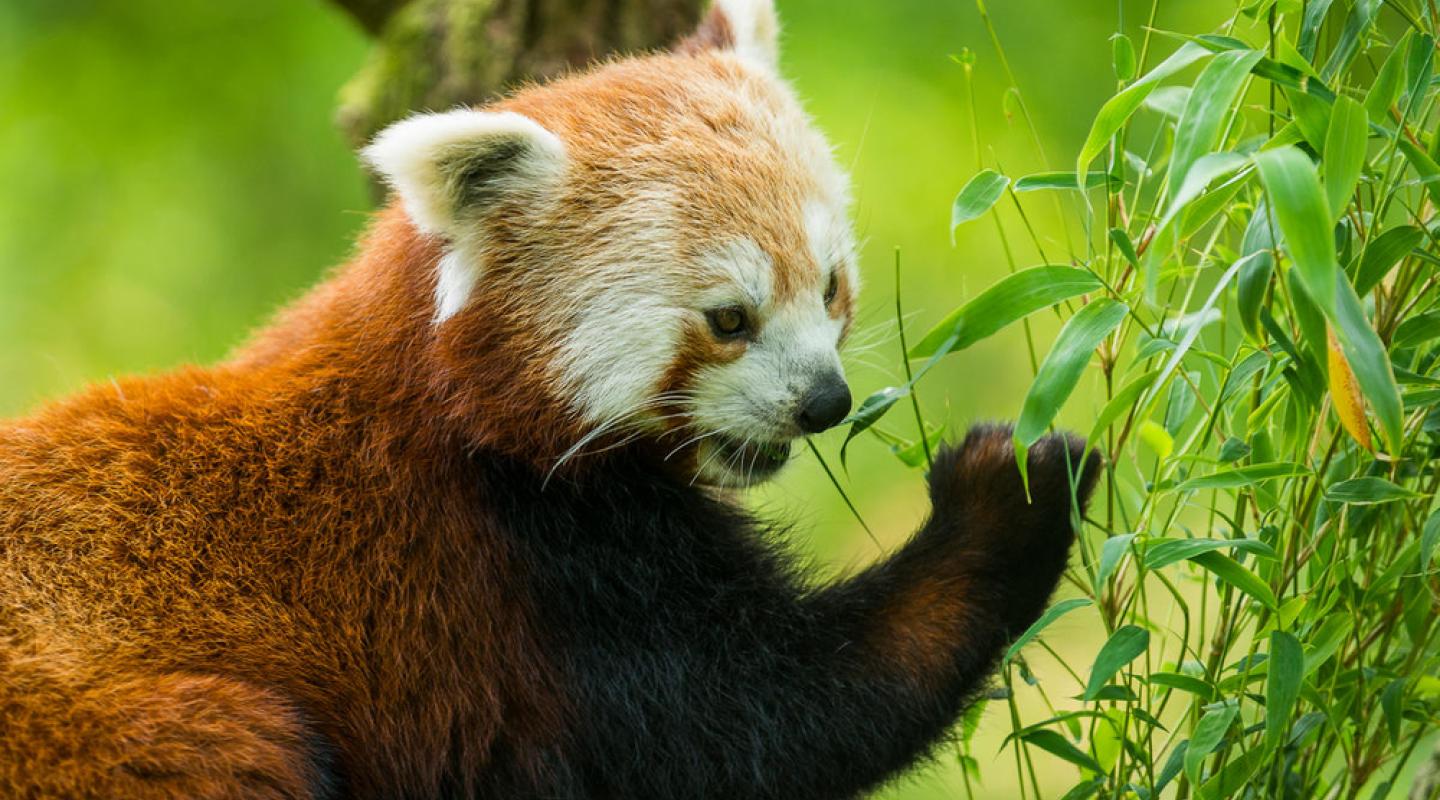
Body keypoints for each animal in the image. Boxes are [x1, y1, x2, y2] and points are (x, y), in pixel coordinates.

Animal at [0, 1, 1100, 797]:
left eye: (831, 286)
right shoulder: (517, 574)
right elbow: (769, 718)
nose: (824, 403)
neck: (457, 411)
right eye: (730, 318)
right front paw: (1011, 491)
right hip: (136, 735)